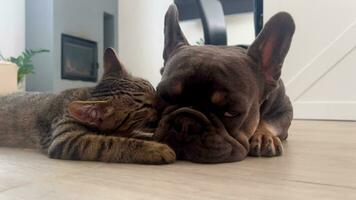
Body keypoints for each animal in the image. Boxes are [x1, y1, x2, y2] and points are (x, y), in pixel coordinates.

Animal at [0, 48, 175, 164]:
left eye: (152, 89)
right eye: (144, 107)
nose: (165, 102)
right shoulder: (65, 139)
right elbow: (112, 143)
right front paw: (156, 148)